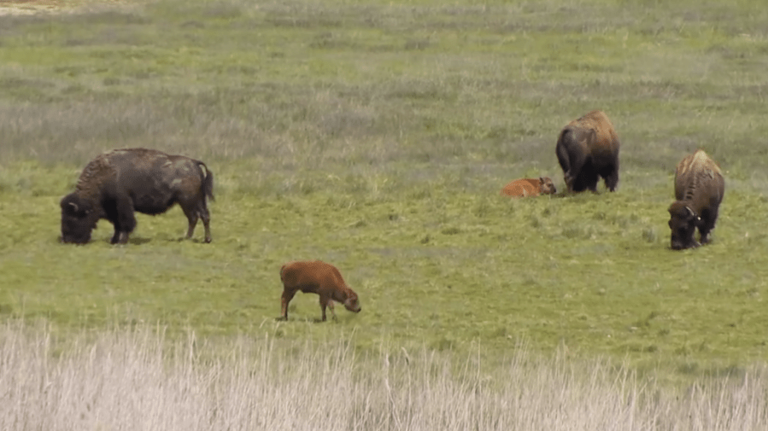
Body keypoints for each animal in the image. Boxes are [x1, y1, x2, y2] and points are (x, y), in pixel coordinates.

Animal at [60, 148, 214, 245]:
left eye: (73, 216)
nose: (67, 239)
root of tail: (194, 162)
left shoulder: (123, 205)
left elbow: (125, 223)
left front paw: (121, 241)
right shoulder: (114, 210)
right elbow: (117, 225)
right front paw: (114, 240)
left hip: (188, 201)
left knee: (197, 217)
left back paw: (201, 239)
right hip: (195, 201)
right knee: (199, 217)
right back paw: (192, 238)